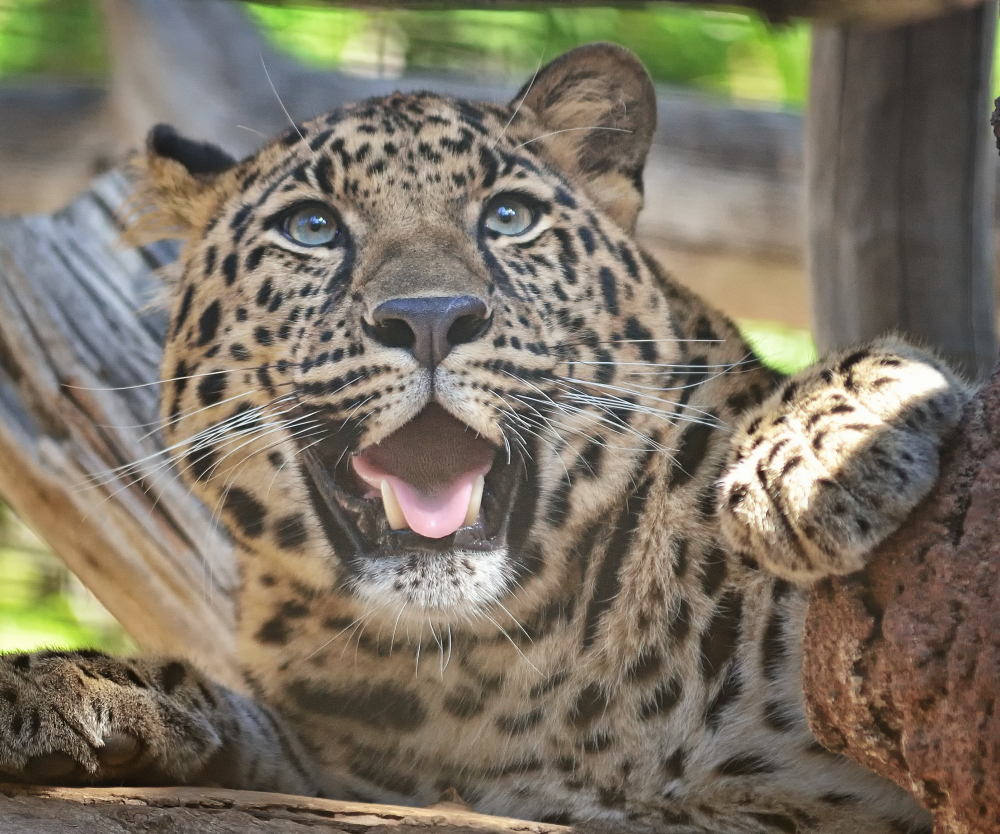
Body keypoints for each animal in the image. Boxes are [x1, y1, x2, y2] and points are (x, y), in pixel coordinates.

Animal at [0, 44, 969, 833]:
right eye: (312, 228)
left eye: (507, 217)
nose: (431, 317)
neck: (505, 676)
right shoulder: (352, 768)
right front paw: (61, 689)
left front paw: (820, 454)